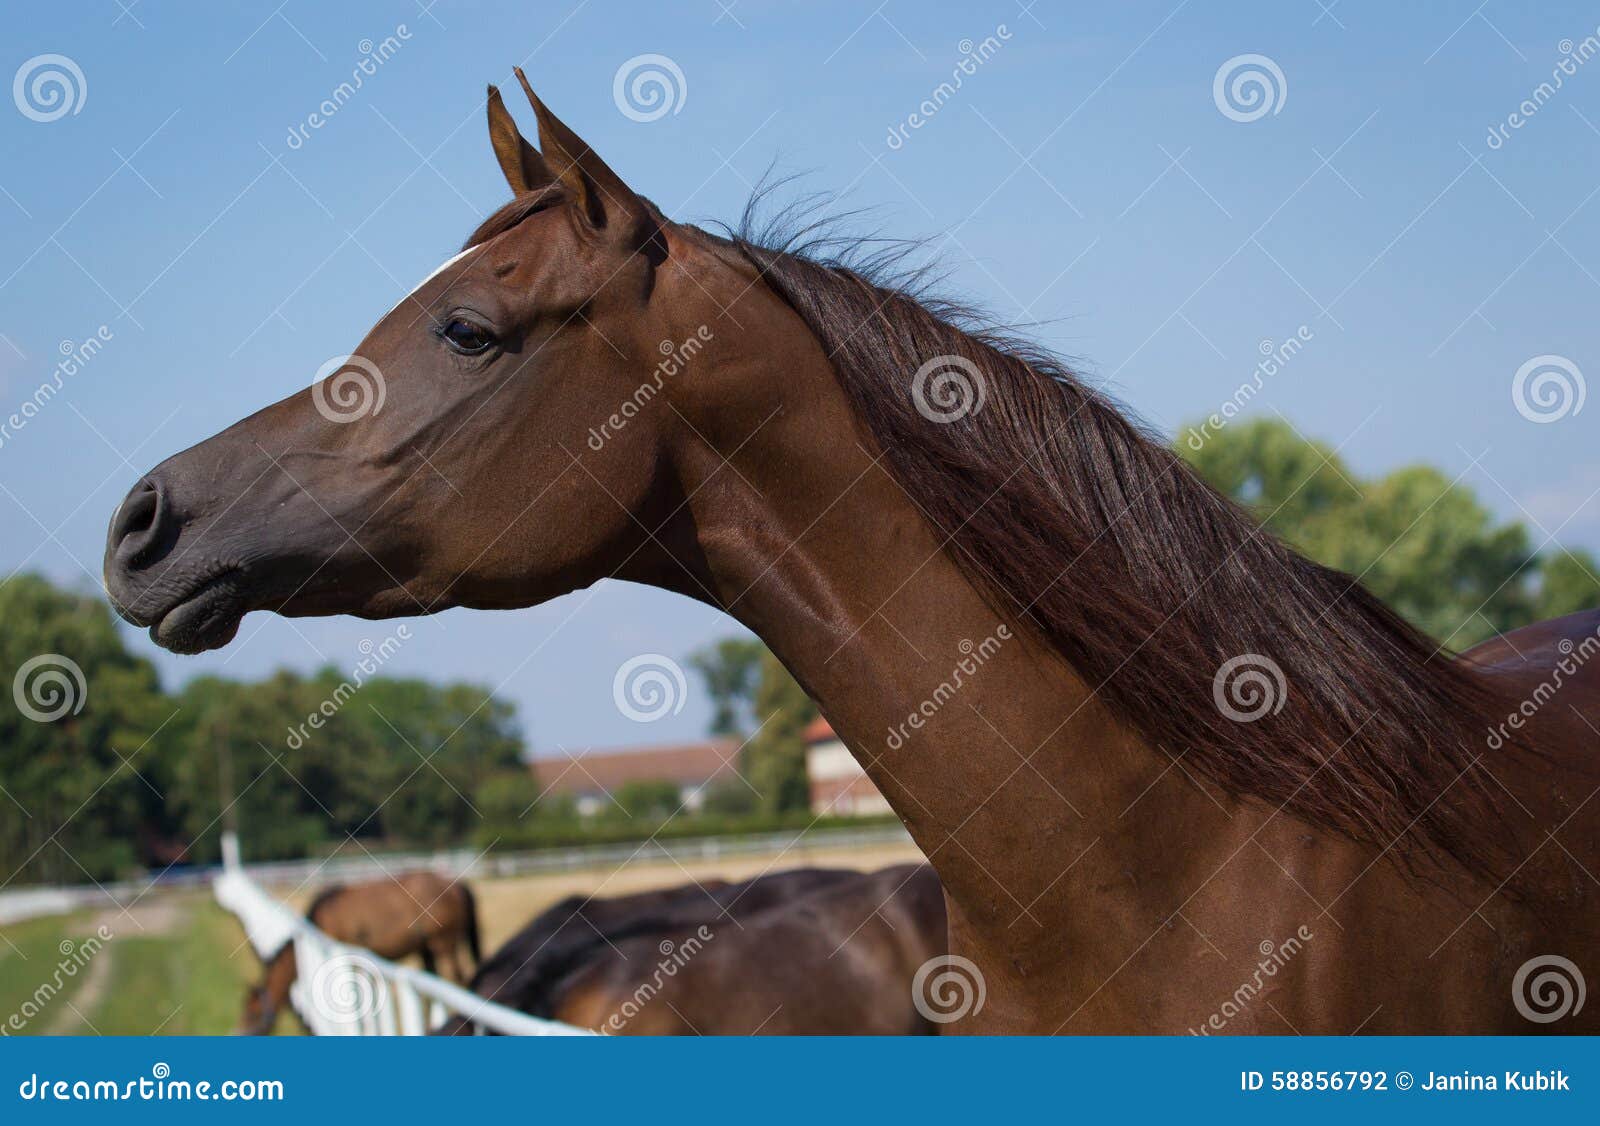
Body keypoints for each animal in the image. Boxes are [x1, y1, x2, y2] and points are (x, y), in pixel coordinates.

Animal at [239, 871, 480, 1034]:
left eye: (253, 1013)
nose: (239, 1033)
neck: (324, 917)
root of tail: (456, 885)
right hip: (426, 948)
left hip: (444, 945)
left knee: (459, 978)